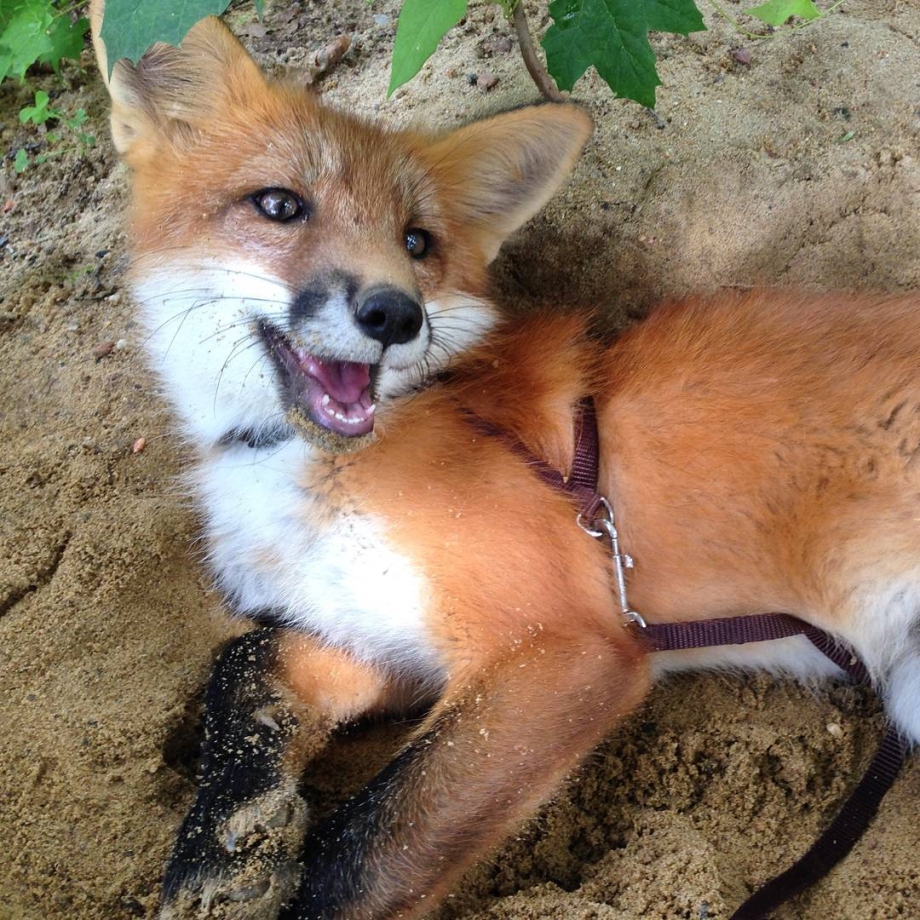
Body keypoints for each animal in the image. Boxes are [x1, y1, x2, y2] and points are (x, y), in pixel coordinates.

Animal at [89, 2, 918, 918]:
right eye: (279, 205)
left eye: (418, 242)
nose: (394, 314)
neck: (309, 468)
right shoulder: (382, 637)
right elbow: (241, 664)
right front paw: (220, 848)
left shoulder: (561, 646)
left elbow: (367, 840)